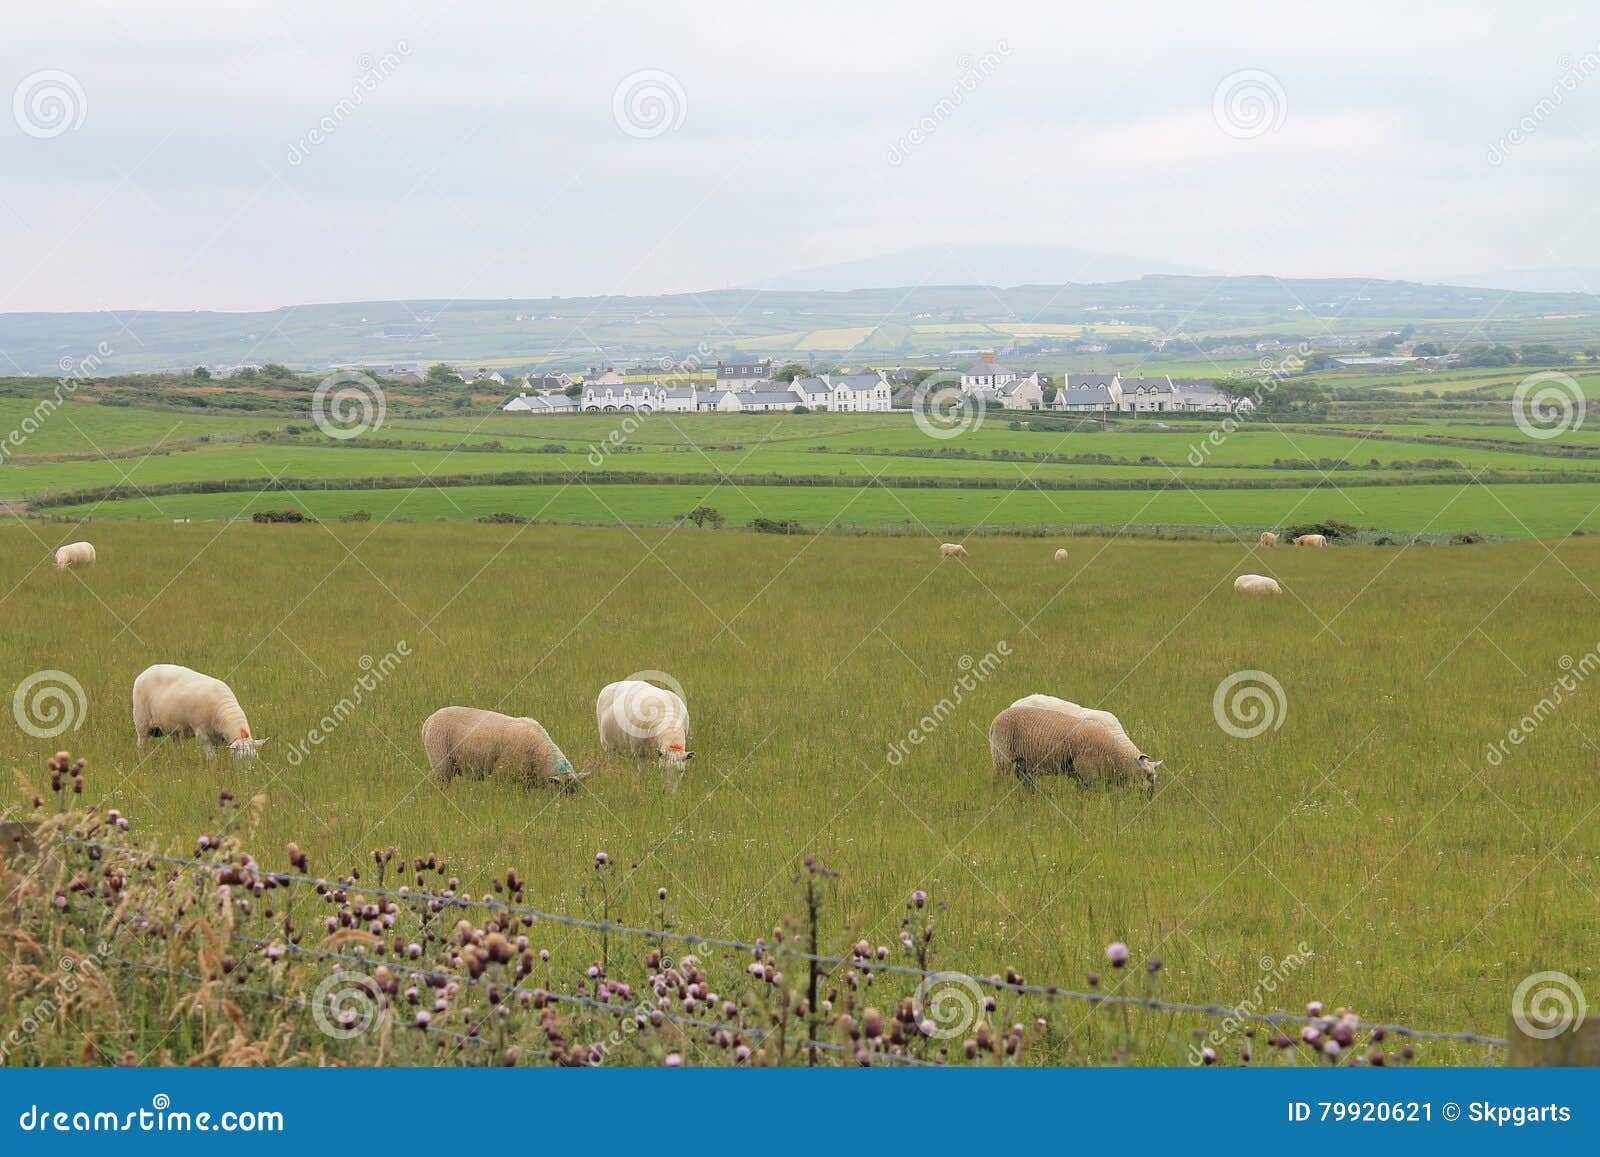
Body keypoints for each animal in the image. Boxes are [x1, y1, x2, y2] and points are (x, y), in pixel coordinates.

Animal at [132, 663, 266, 758]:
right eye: (240, 758)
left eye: (253, 758)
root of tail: (147, 670)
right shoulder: (201, 732)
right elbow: (211, 757)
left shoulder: (219, 737)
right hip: (141, 720)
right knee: (141, 744)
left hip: (173, 727)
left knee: (177, 746)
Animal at [989, 704, 1161, 793]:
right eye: (1146, 776)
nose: (1148, 798)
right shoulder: (1087, 770)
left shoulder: (1078, 772)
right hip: (1001, 755)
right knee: (999, 779)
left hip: (1022, 761)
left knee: (1024, 779)